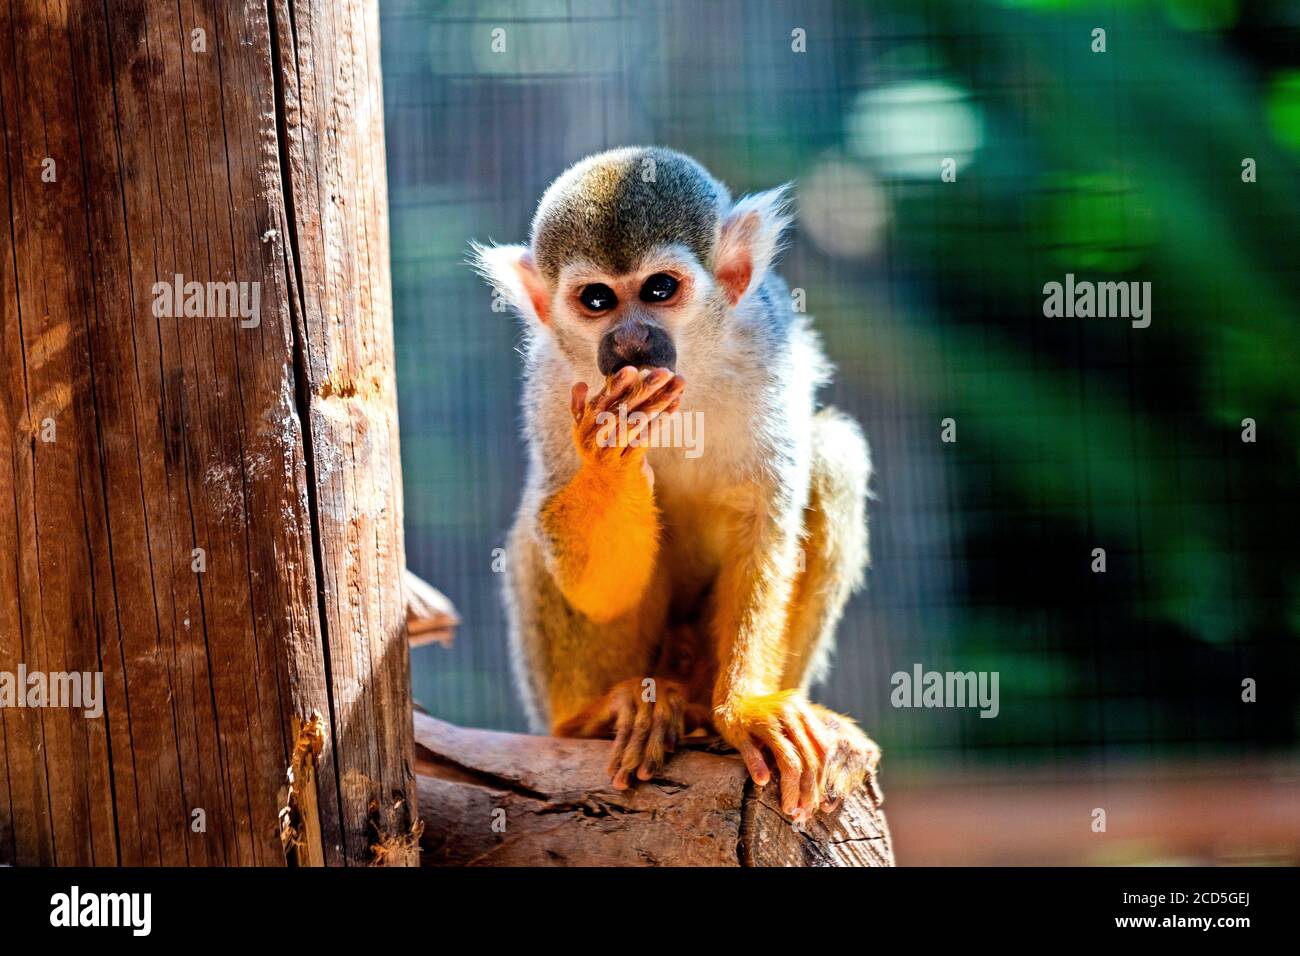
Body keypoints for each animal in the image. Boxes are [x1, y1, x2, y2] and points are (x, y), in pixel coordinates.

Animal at [472, 146, 878, 822]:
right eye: (597, 300)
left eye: (660, 289)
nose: (631, 339)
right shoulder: (553, 384)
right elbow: (589, 579)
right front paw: (610, 456)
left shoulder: (771, 351)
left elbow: (765, 525)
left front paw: (745, 709)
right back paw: (601, 716)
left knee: (835, 454)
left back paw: (702, 712)